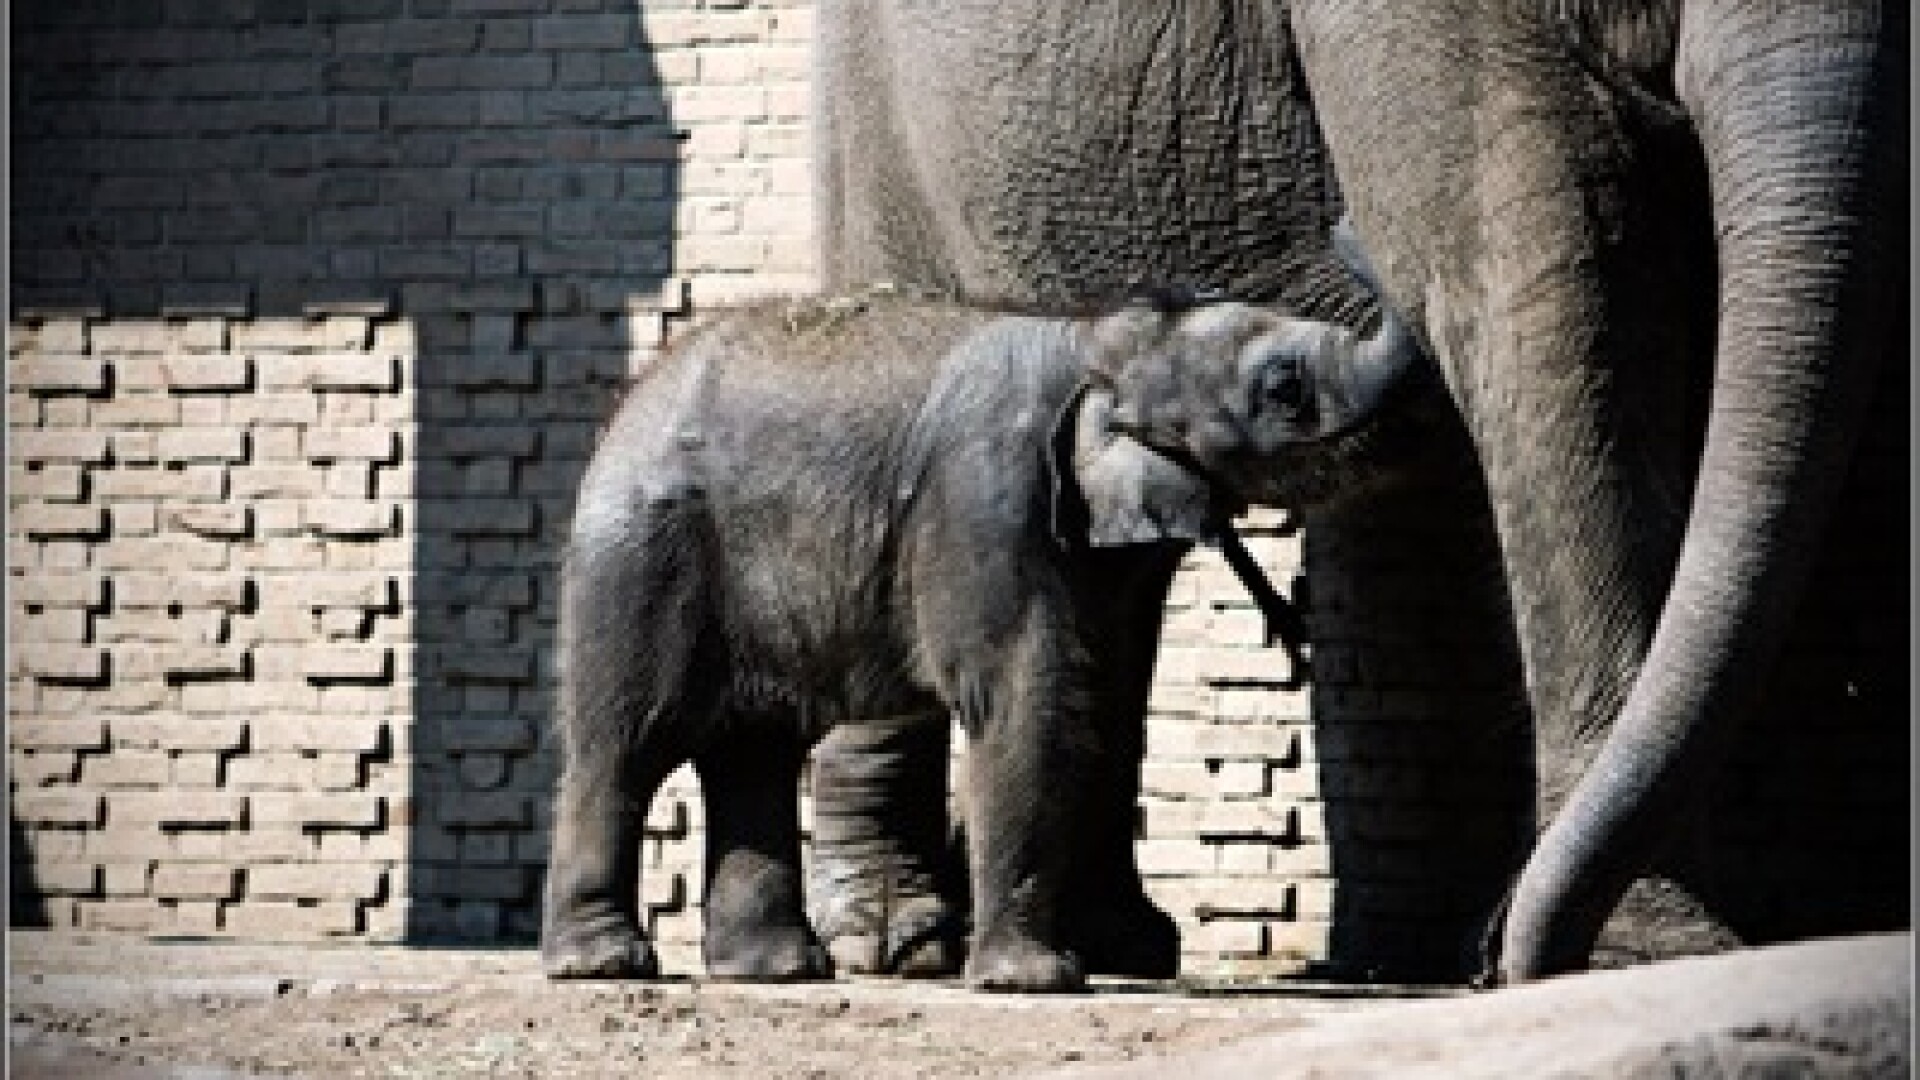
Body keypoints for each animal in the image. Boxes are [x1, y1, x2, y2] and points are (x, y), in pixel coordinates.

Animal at [541, 262, 1429, 991]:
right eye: (1282, 387)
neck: (1092, 338)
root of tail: (629, 404)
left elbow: (1097, 701)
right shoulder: (986, 494)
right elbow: (1025, 698)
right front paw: (1034, 981)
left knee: (754, 751)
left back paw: (776, 971)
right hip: (640, 554)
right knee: (630, 743)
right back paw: (604, 964)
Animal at [811, 0, 1908, 984]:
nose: (1495, 961)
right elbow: (1565, 315)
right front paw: (1651, 951)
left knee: (1118, 562)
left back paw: (1111, 941)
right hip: (880, 151)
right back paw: (894, 939)